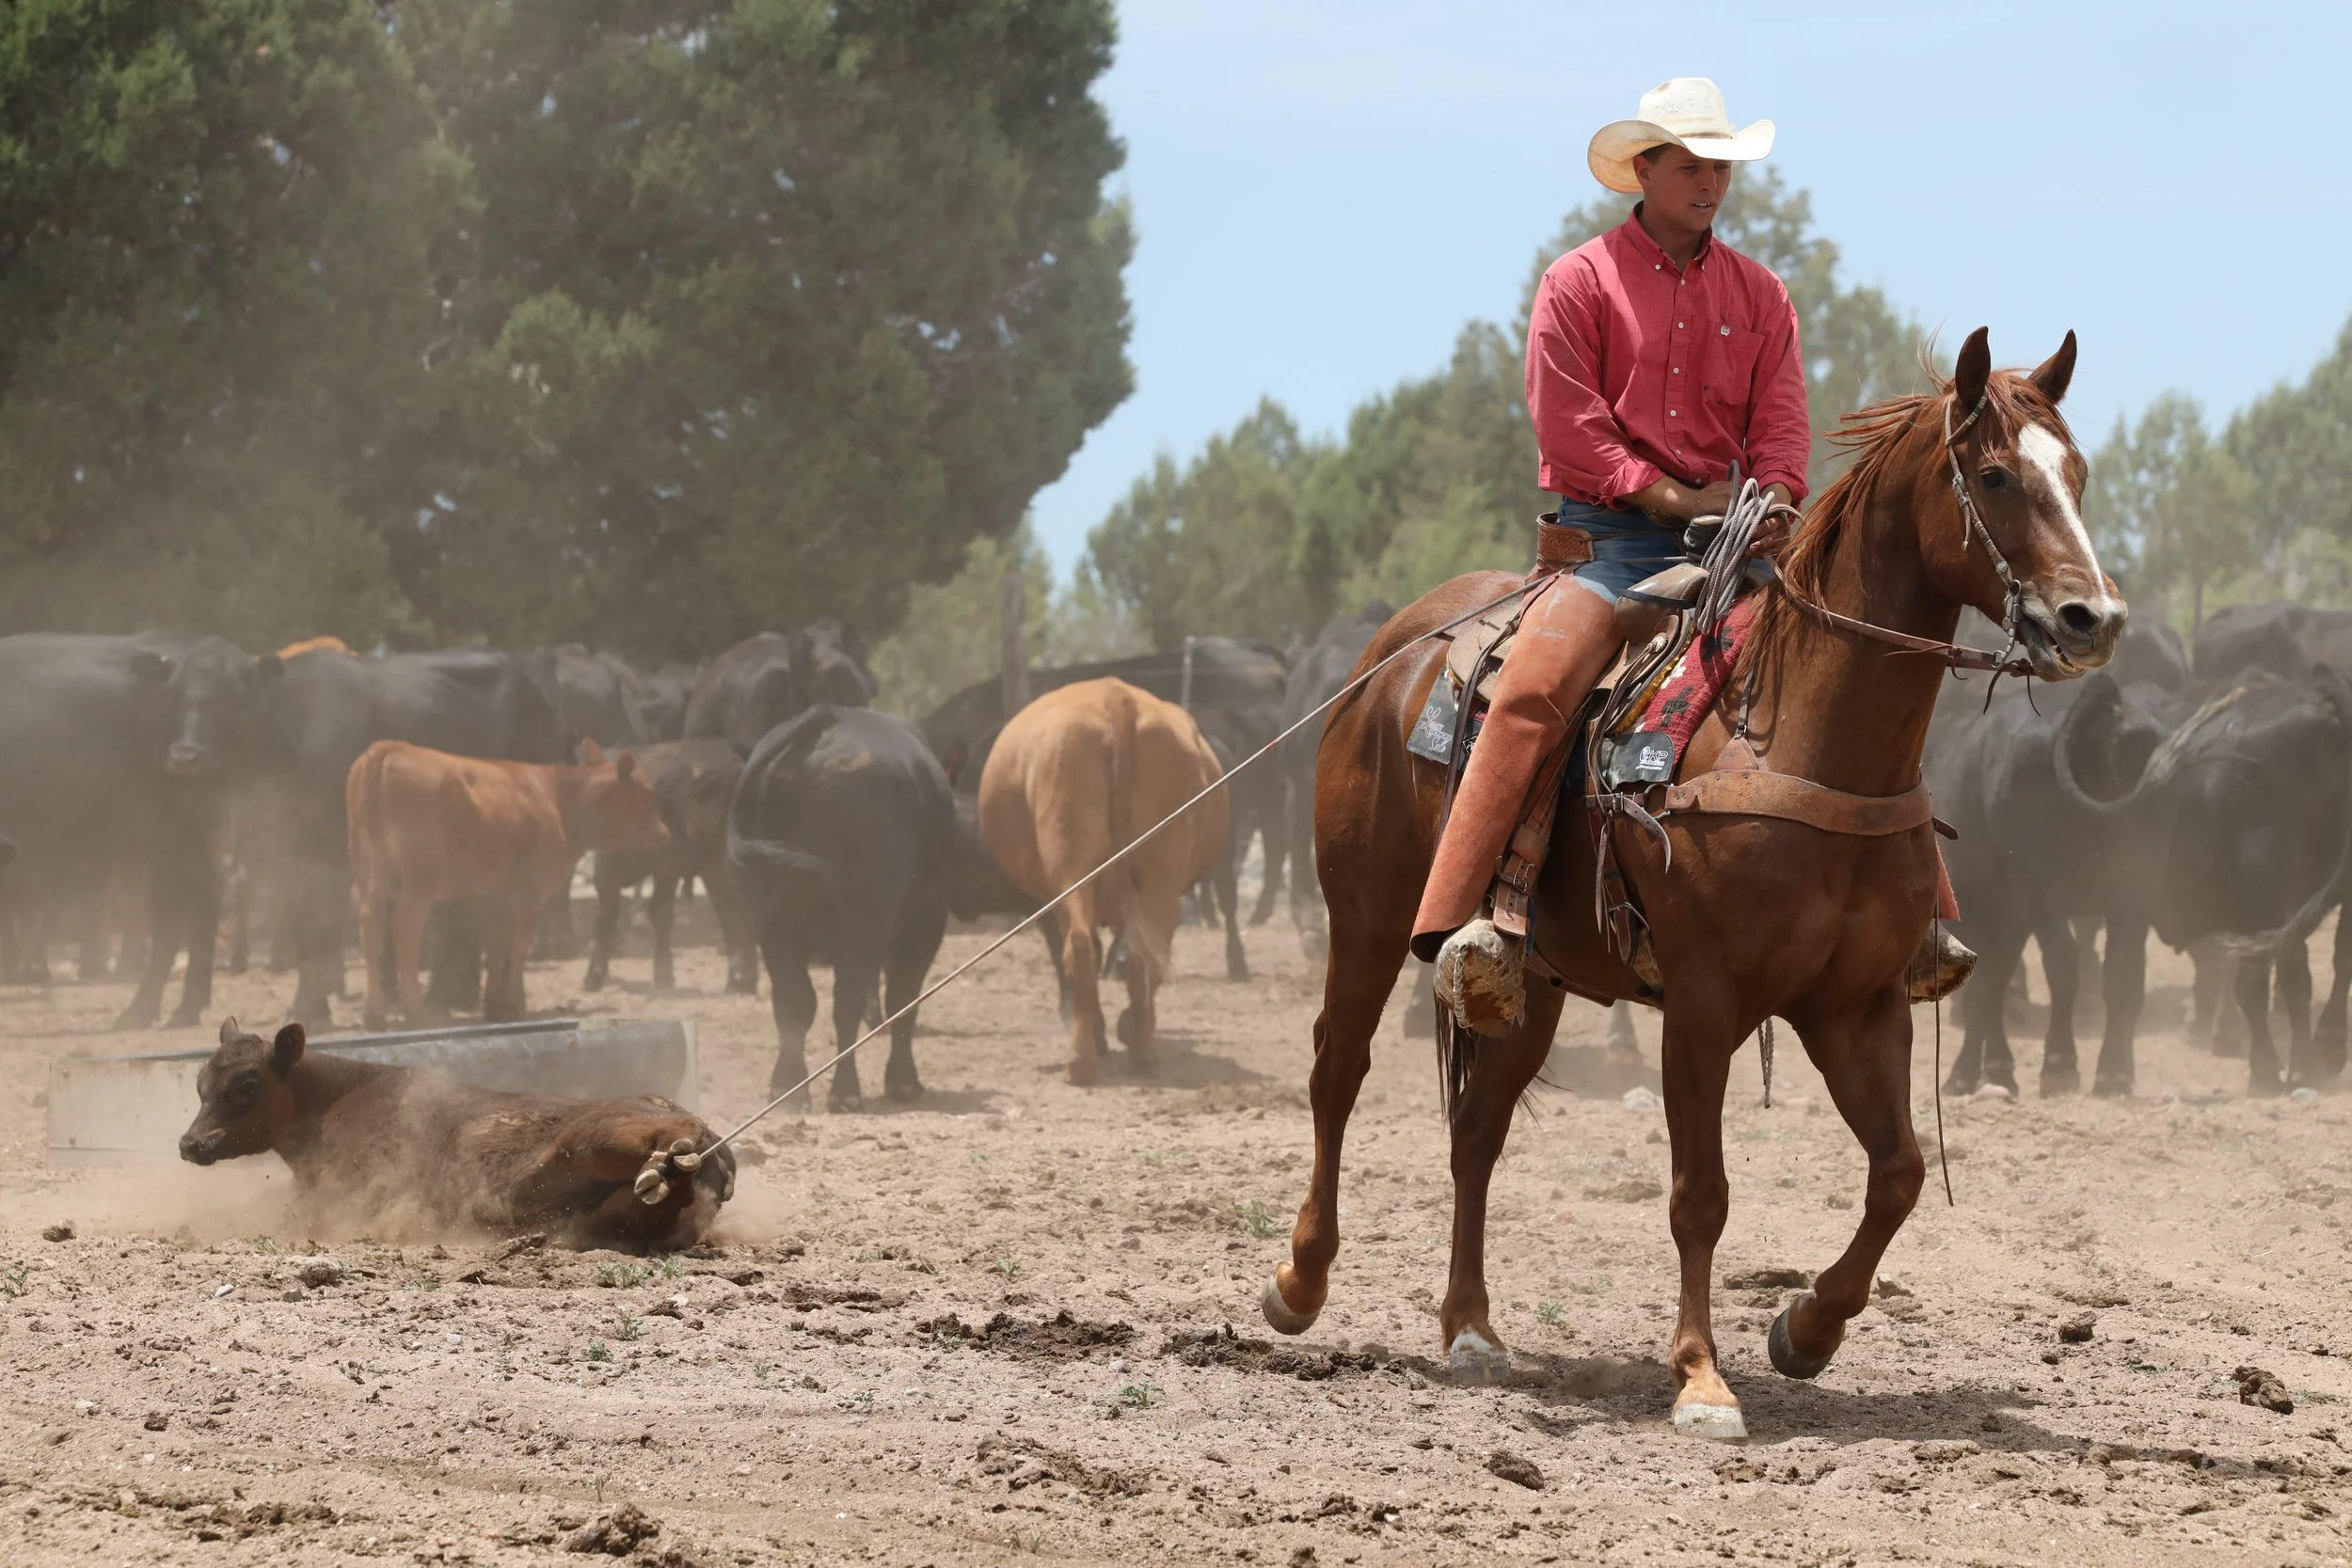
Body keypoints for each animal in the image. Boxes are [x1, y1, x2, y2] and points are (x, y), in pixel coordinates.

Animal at [1261, 328, 2125, 1440]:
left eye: (2077, 473)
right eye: (1994, 475)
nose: (2090, 618)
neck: (1795, 736)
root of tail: (1391, 653)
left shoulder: (1858, 1006)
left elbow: (1896, 1174)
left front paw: (1806, 1329)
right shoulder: (1705, 1003)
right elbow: (1698, 1192)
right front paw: (1702, 1377)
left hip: (1534, 982)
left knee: (1478, 1129)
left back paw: (1471, 1329)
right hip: (1363, 919)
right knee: (1338, 1070)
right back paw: (1300, 1281)